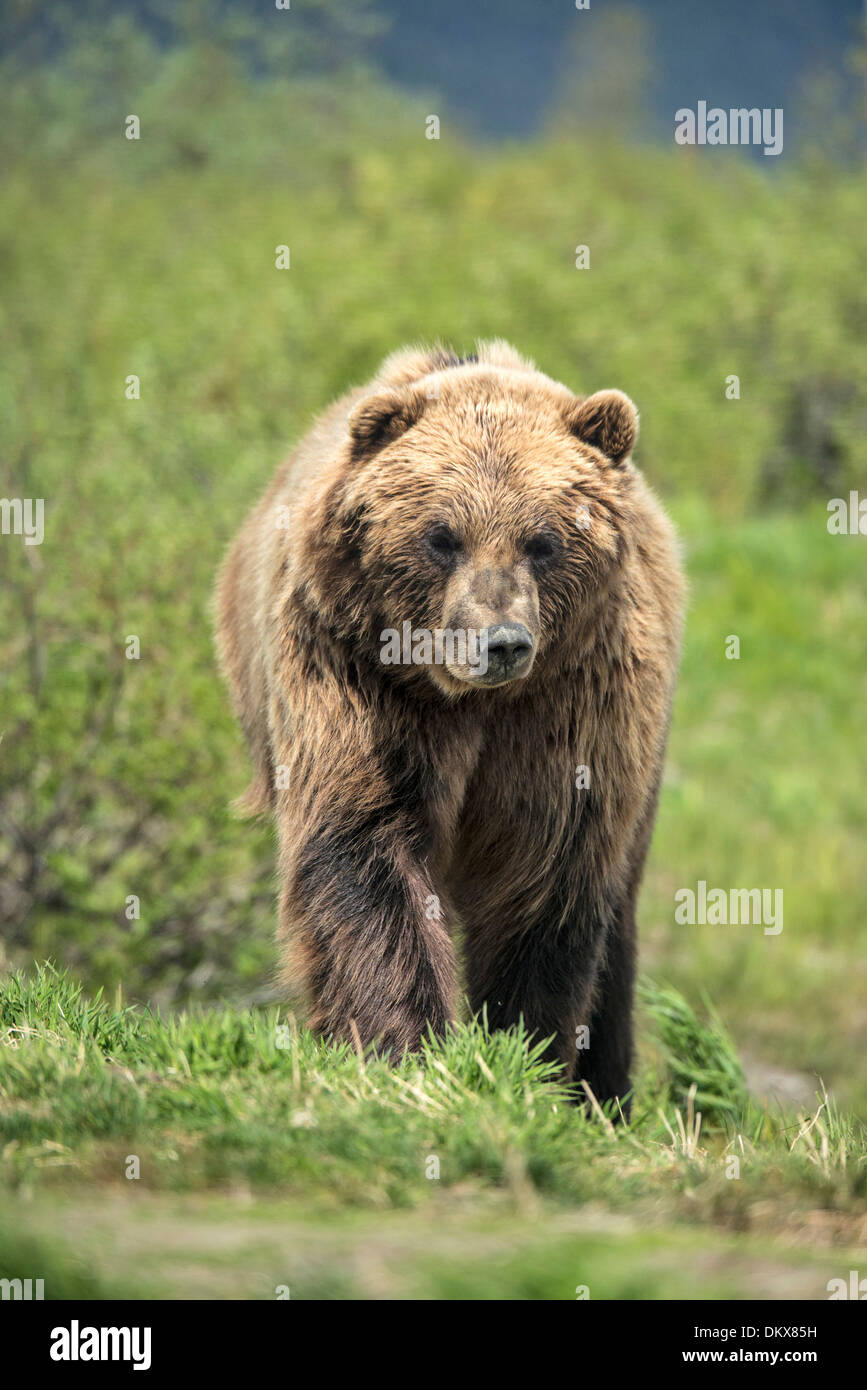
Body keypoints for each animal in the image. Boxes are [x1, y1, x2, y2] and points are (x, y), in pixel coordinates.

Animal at [215, 340, 684, 1109]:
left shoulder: (575, 706)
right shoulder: (360, 675)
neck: (471, 703)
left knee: (617, 924)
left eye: (542, 541)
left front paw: (522, 1055)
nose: (501, 642)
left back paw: (605, 1091)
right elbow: (366, 847)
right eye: (442, 536)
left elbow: (544, 876)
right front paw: (407, 1048)